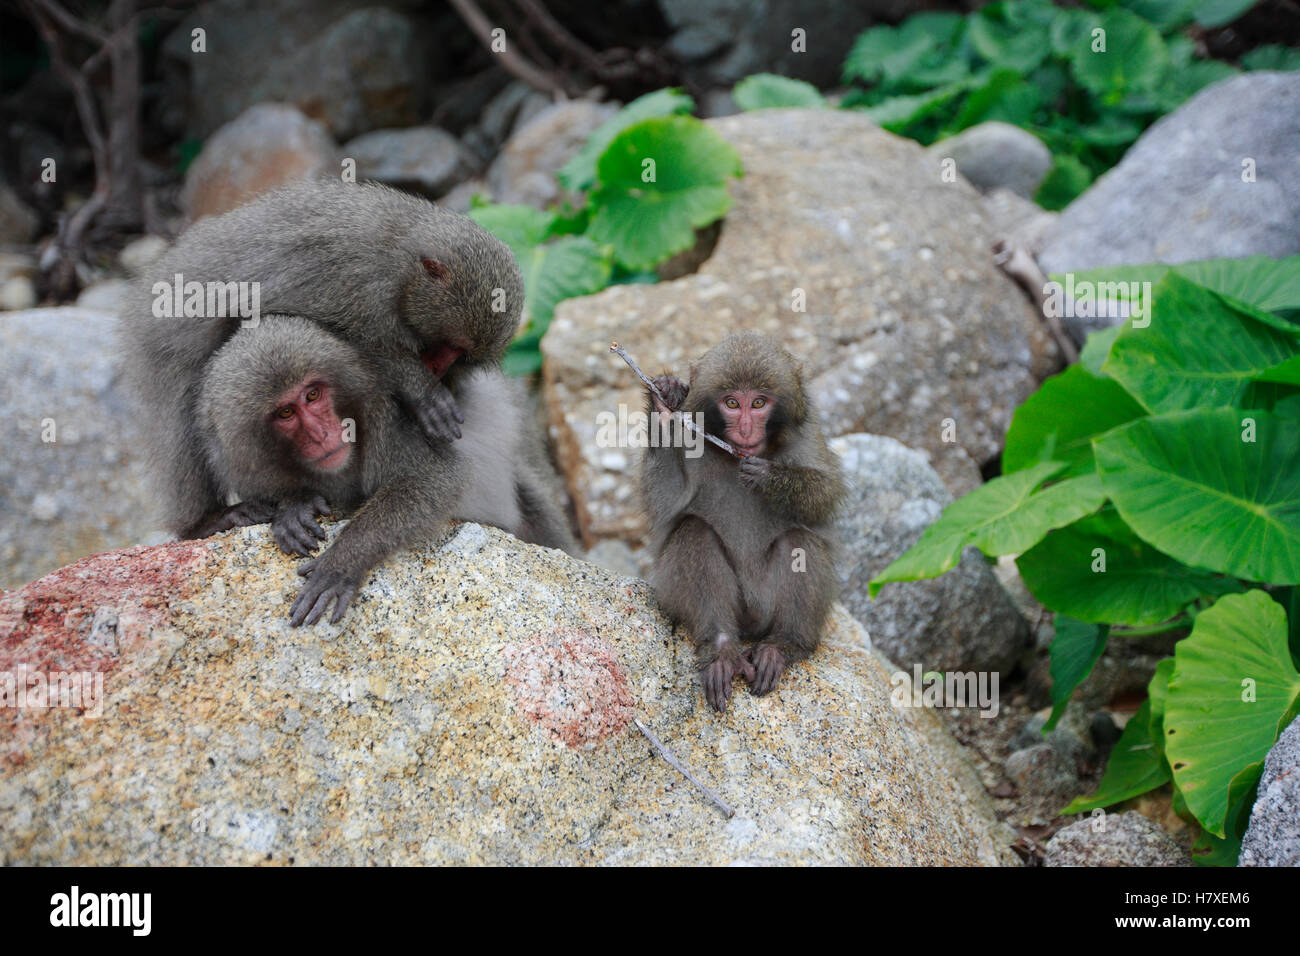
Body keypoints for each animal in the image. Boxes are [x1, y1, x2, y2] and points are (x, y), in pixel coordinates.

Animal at [118, 179, 524, 540]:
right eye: (445, 342)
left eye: (459, 354)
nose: (438, 366)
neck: (403, 259)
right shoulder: (354, 284)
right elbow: (360, 344)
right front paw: (420, 389)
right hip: (161, 338)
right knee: (181, 420)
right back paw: (202, 522)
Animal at [196, 314, 576, 625]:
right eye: (286, 413)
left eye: (313, 394)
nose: (321, 434)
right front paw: (293, 506)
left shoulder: (385, 410)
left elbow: (432, 480)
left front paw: (344, 560)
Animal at [641, 332, 845, 712]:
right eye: (733, 403)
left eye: (759, 402)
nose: (747, 429)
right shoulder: (690, 440)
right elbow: (663, 501)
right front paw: (664, 405)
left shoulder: (806, 436)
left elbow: (825, 495)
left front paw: (771, 478)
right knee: (693, 531)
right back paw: (721, 647)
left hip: (766, 606)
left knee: (800, 542)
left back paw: (784, 645)